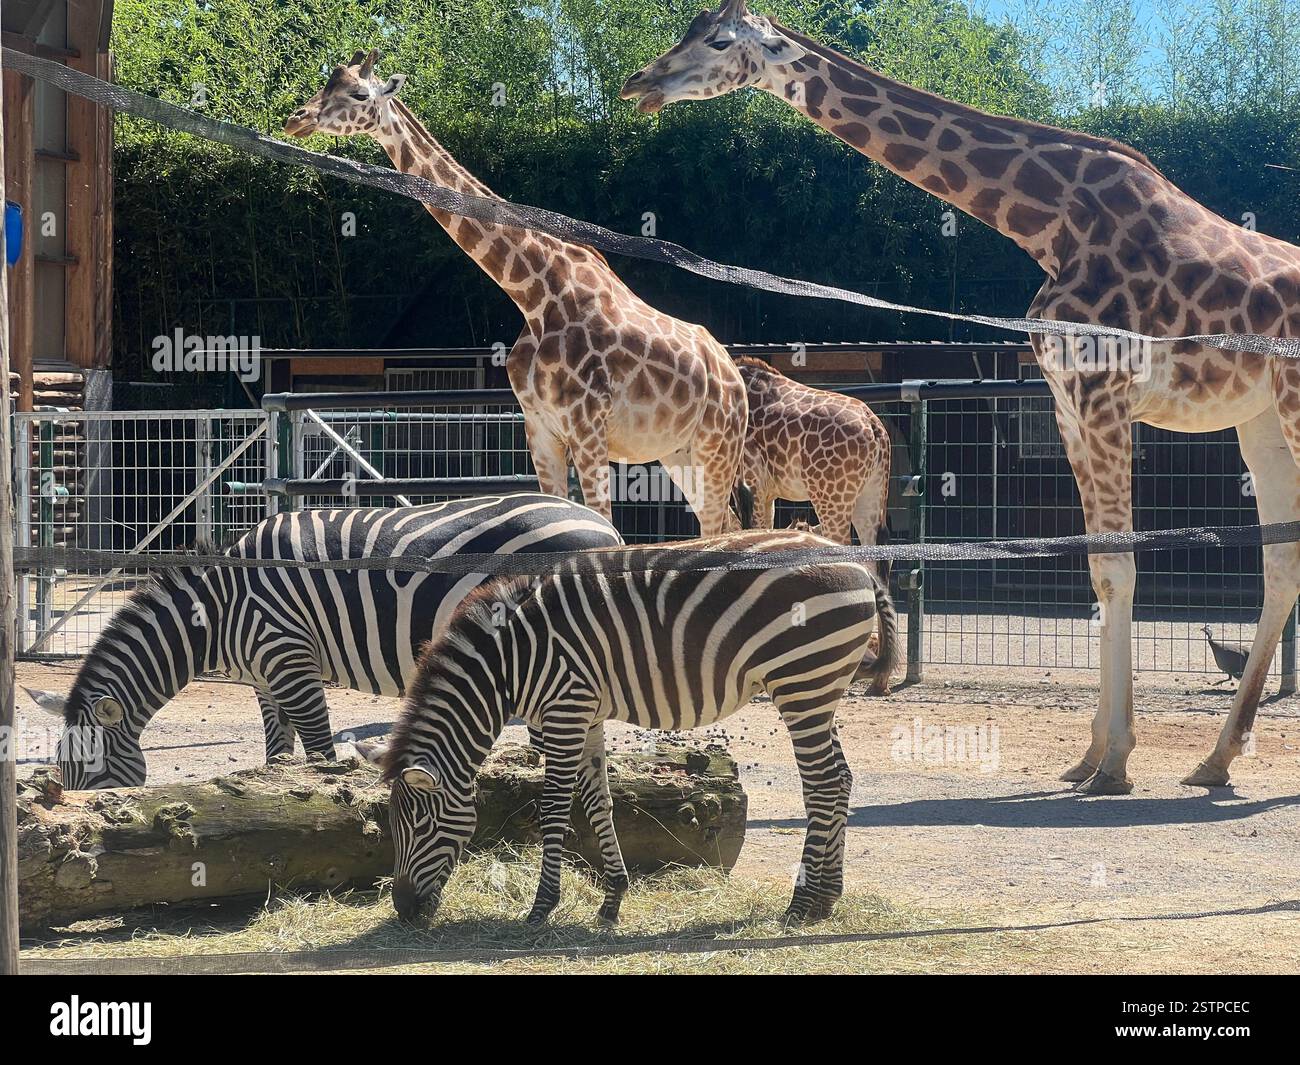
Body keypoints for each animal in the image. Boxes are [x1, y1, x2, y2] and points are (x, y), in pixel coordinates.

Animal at [26, 494, 623, 789]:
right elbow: (277, 752)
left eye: (92, 772)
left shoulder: (291, 659)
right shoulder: (265, 680)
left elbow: (317, 748)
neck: (218, 611)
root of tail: (600, 523)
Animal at [285, 49, 747, 535]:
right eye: (325, 84)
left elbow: (607, 530)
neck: (534, 296)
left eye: (358, 93)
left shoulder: (589, 429)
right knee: (729, 523)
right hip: (679, 452)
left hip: (716, 445)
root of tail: (734, 376)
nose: (296, 119)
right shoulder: (540, 430)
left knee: (718, 527)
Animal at [356, 527, 898, 926]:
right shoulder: (587, 713)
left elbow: (555, 809)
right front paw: (612, 899)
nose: (403, 912)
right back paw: (827, 899)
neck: (509, 663)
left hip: (801, 682)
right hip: (819, 691)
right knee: (840, 780)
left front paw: (541, 908)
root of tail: (855, 562)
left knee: (823, 786)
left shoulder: (565, 710)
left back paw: (801, 905)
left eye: (421, 825)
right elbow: (598, 801)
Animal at [622, 2, 1300, 792]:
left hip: (1288, 405)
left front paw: (1116, 764)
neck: (1051, 225)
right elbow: (1101, 571)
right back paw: (1216, 757)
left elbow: (1121, 566)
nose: (639, 84)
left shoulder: (1103, 395)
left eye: (720, 40)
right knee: (1281, 561)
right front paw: (1091, 755)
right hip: (1259, 418)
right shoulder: (1069, 406)